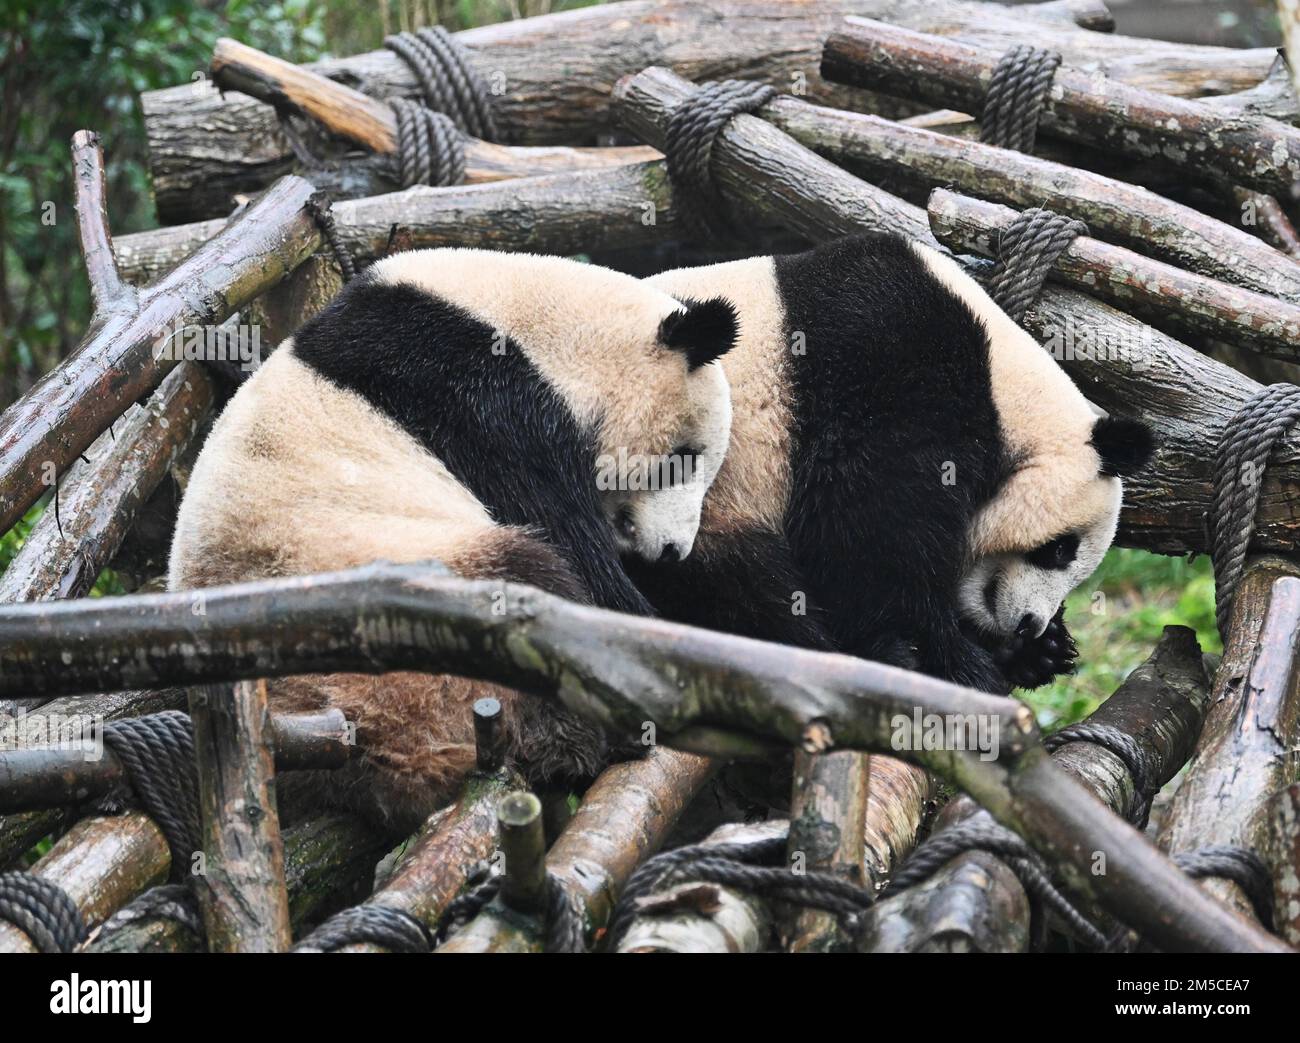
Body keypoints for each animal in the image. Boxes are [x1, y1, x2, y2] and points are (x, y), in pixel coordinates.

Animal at [625, 233, 1155, 696]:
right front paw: (950, 662)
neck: (1006, 394)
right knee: (743, 590)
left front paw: (1038, 652)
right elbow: (869, 532)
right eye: (1061, 550)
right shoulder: (894, 372)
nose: (1029, 624)